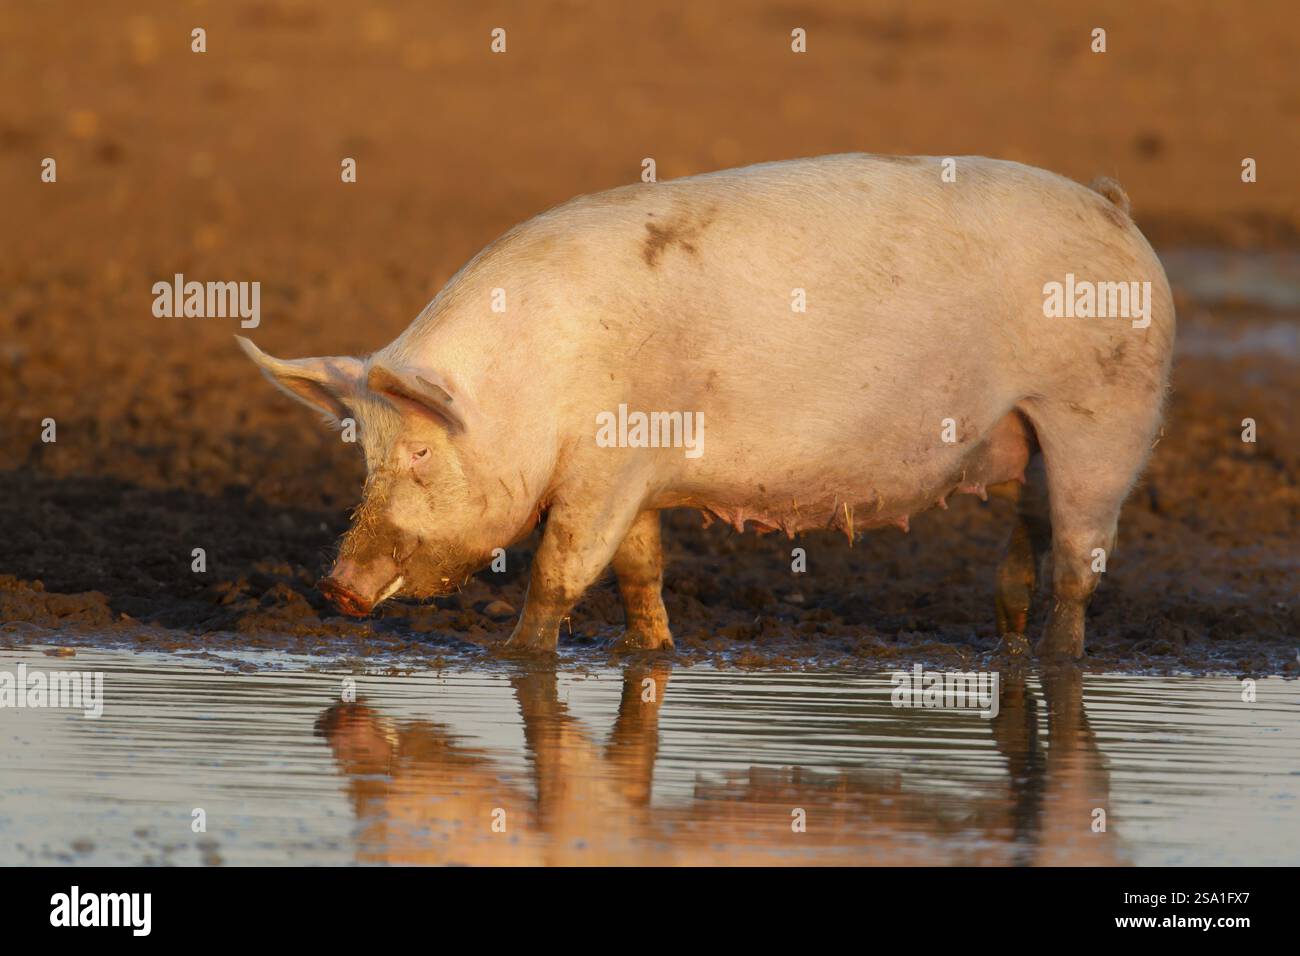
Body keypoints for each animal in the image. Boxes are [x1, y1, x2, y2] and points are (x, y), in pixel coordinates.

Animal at [238, 153, 1174, 659]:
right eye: (362, 452)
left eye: (423, 452)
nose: (336, 587)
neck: (536, 384)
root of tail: (1118, 213)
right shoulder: (640, 474)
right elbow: (639, 569)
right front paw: (650, 650)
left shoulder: (607, 465)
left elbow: (560, 570)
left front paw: (516, 656)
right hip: (1034, 438)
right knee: (1026, 549)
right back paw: (1012, 648)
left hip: (1105, 417)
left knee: (1079, 564)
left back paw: (1060, 657)